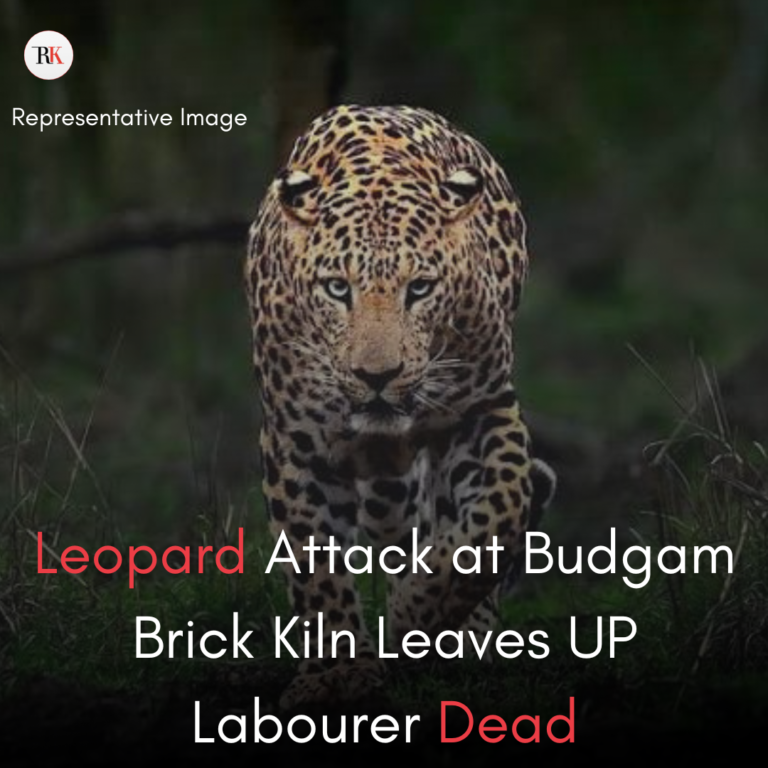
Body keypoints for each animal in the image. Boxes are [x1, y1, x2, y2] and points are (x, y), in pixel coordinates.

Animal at [244, 104, 556, 710]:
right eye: (337, 288)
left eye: (421, 288)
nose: (377, 376)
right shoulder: (295, 441)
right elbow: (315, 566)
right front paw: (338, 672)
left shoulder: (483, 408)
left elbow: (500, 512)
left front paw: (418, 613)